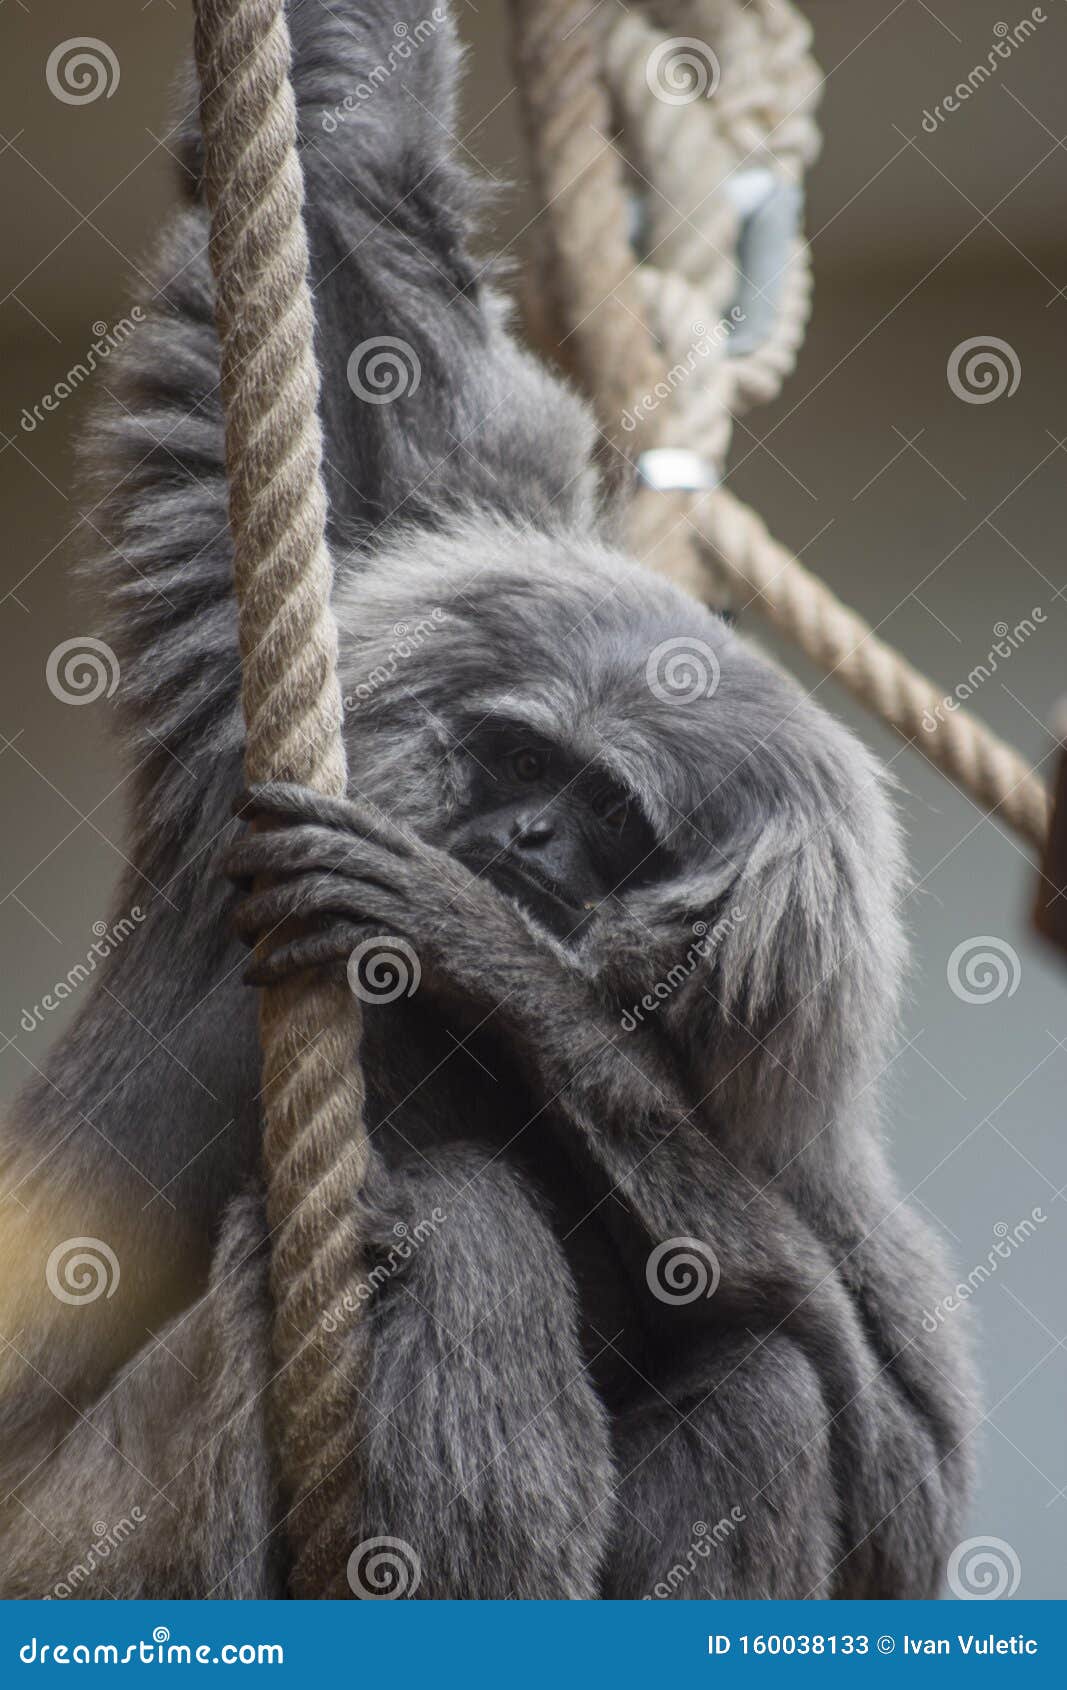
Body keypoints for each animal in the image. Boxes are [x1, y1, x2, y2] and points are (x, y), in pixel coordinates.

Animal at [0, 0, 976, 1599]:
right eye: (520, 763)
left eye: (607, 819)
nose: (521, 839)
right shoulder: (336, 644)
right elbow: (346, 203)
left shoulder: (786, 1130)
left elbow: (903, 1495)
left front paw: (494, 961)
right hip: (93, 1536)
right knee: (464, 1227)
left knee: (764, 1378)